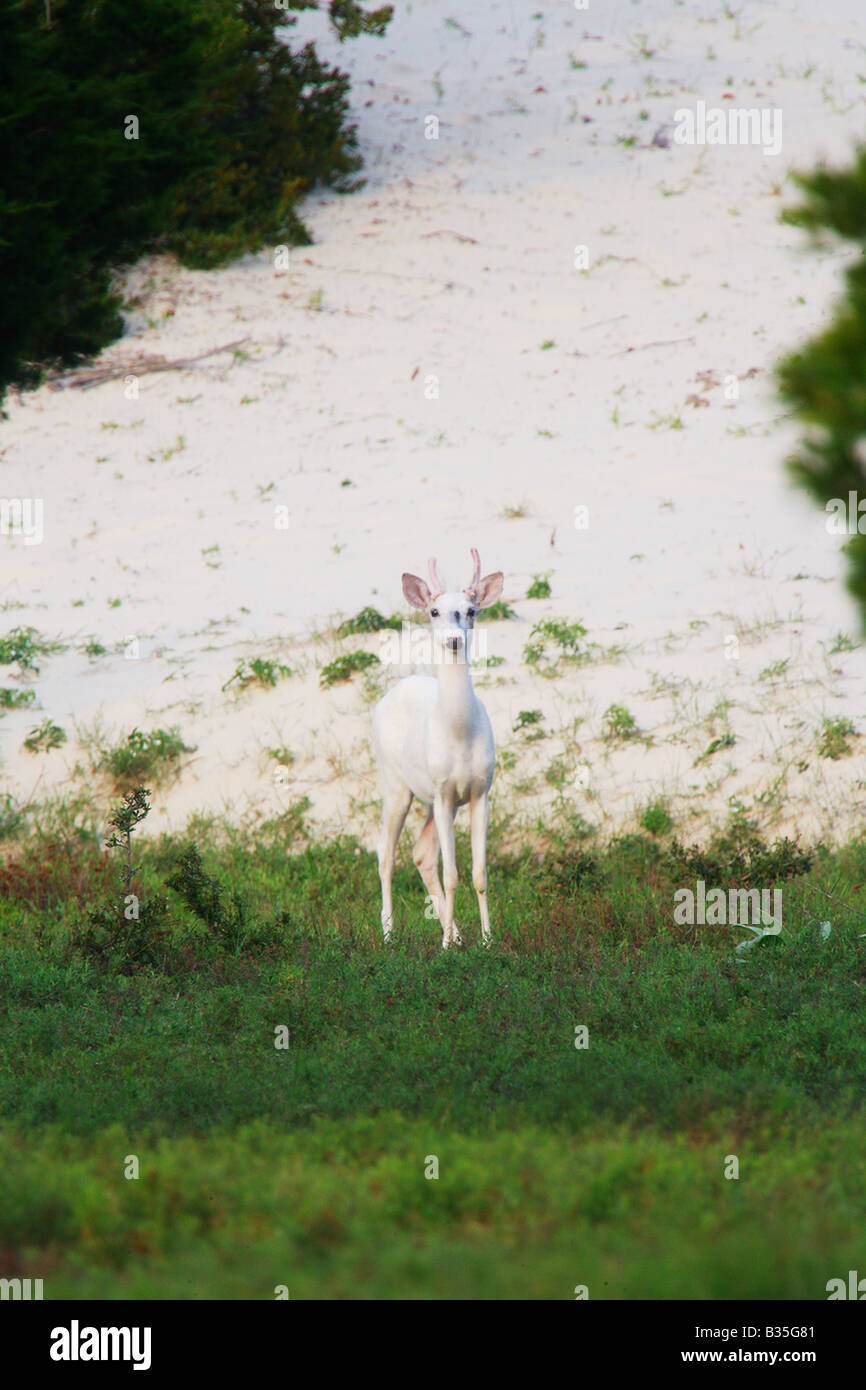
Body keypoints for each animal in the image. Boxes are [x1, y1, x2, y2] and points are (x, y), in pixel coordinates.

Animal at [372, 548, 503, 949]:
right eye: (433, 611)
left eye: (471, 610)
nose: (453, 639)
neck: (459, 733)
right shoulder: (445, 795)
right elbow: (452, 875)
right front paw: (445, 946)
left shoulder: (477, 793)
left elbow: (478, 874)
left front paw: (487, 940)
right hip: (395, 783)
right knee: (385, 853)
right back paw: (389, 933)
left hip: (432, 798)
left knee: (421, 854)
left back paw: (456, 933)